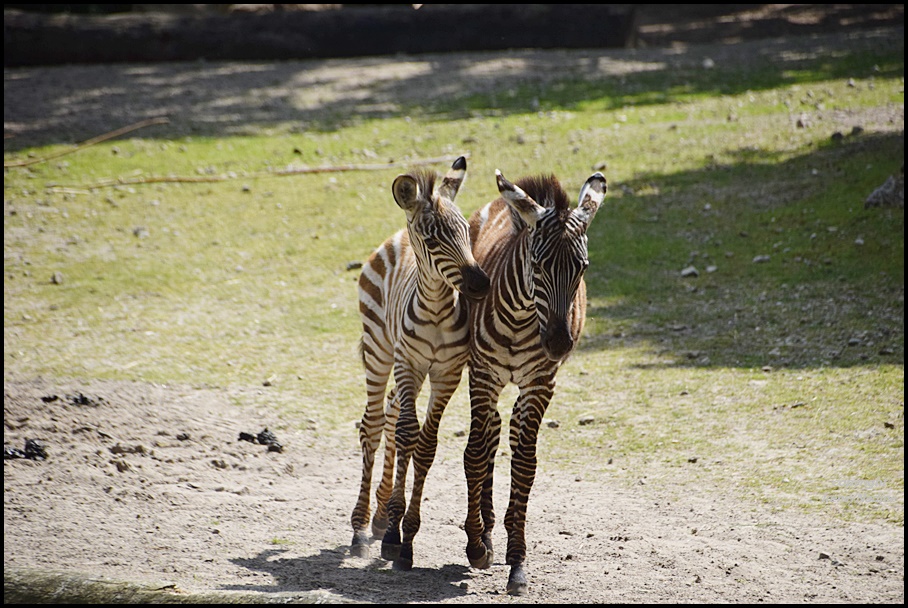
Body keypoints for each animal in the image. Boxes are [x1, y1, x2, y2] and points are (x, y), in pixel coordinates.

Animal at [350, 156, 490, 568]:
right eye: (432, 241)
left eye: (466, 233)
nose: (480, 285)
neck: (437, 313)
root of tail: (398, 234)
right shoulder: (408, 364)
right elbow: (408, 435)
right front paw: (396, 539)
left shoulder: (447, 374)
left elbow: (424, 445)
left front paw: (403, 532)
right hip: (380, 352)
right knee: (374, 425)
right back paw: (361, 528)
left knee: (393, 415)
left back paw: (381, 516)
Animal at [464, 169, 608, 596]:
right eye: (539, 265)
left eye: (583, 267)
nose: (559, 344)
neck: (521, 316)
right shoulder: (483, 374)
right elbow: (475, 454)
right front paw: (476, 546)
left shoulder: (541, 382)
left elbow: (525, 462)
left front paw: (517, 560)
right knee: (485, 439)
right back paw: (483, 532)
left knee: (501, 433)